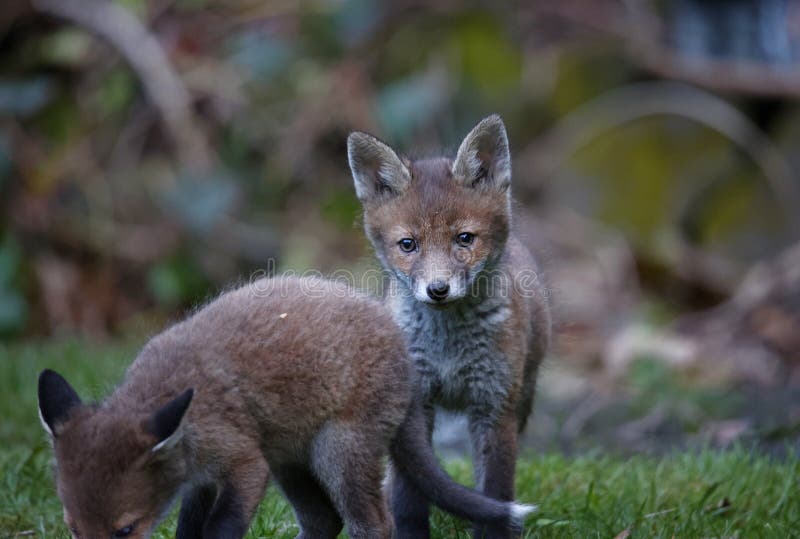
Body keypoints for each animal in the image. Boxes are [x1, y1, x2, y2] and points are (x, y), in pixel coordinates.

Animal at [37, 276, 535, 539]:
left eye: (124, 530)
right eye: (74, 528)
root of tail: (405, 356)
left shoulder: (242, 461)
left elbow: (220, 528)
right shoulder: (202, 479)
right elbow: (187, 531)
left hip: (335, 453)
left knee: (373, 523)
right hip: (290, 461)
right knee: (322, 519)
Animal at [347, 115, 551, 539]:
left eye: (464, 239)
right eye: (408, 244)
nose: (438, 290)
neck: (449, 349)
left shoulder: (495, 407)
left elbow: (496, 490)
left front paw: (492, 530)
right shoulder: (417, 402)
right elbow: (409, 493)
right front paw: (410, 532)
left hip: (522, 397)